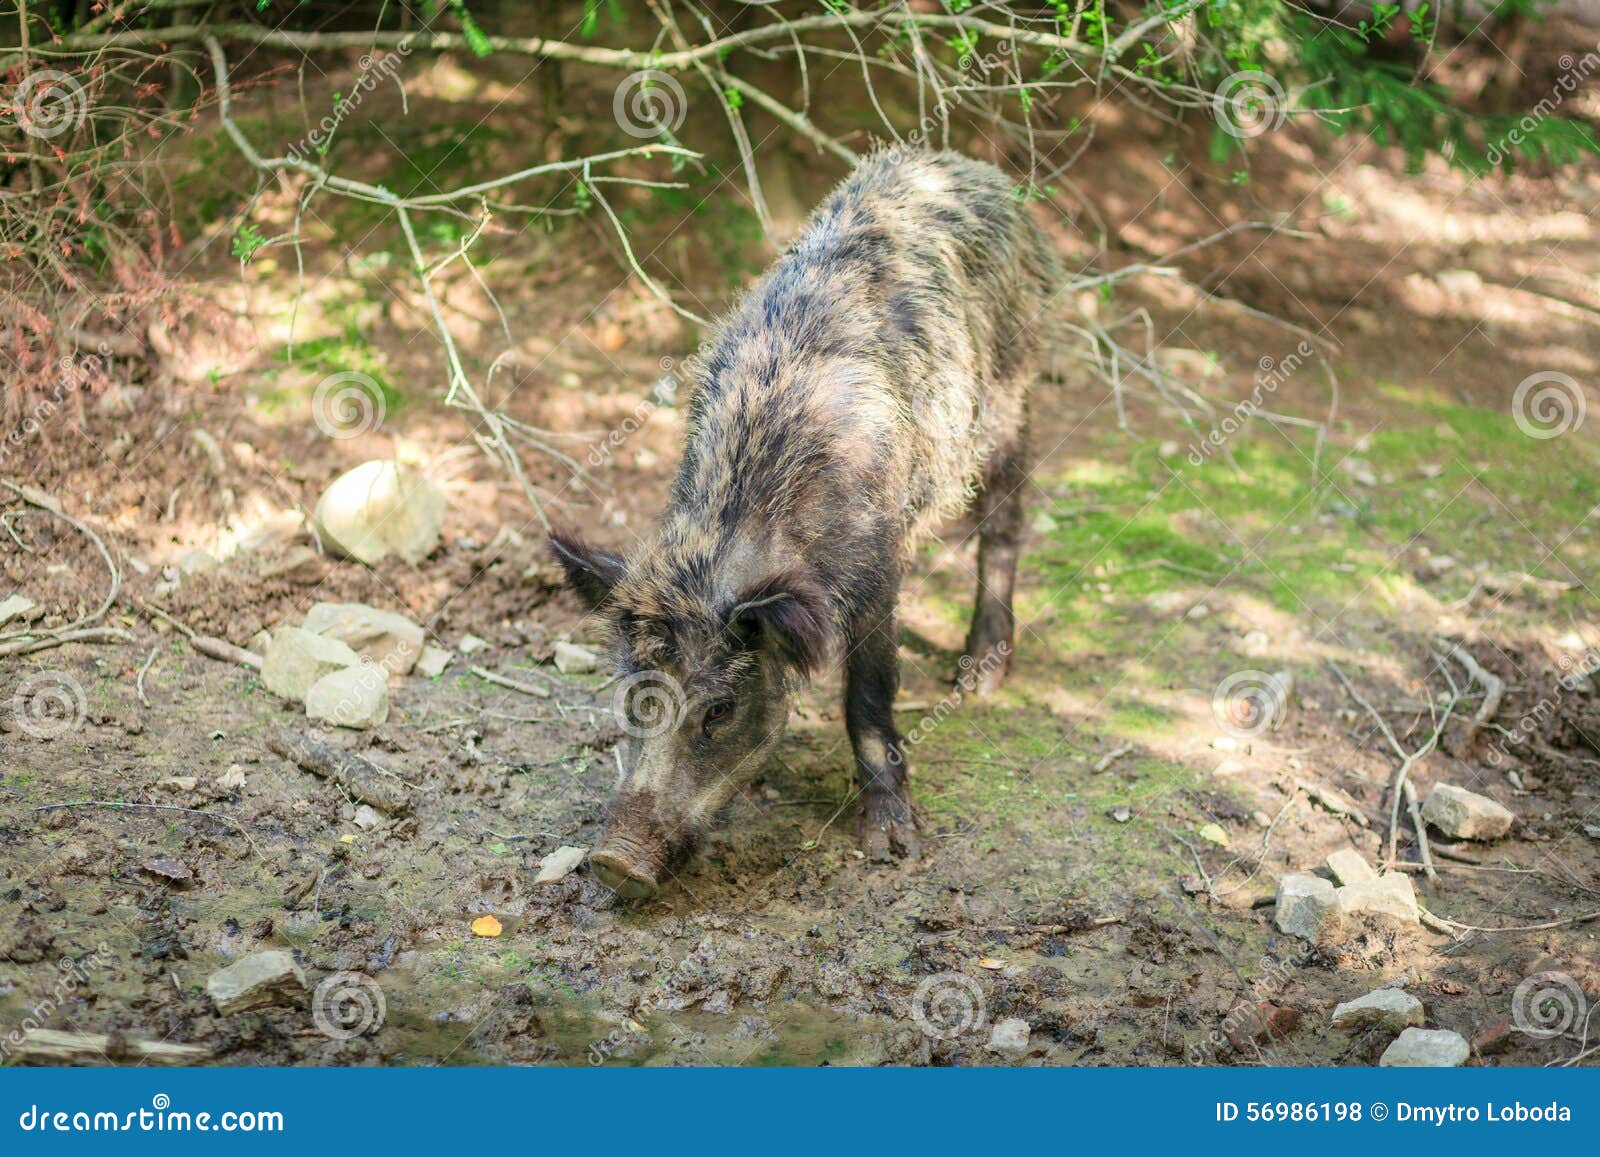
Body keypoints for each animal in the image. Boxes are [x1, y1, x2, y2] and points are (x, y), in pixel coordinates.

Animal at [550, 147, 1061, 897]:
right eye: (636, 693)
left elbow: (869, 698)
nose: (616, 863)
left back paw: (980, 680)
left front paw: (890, 848)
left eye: (720, 708)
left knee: (1003, 522)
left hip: (1015, 393)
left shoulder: (878, 567)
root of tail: (968, 167)